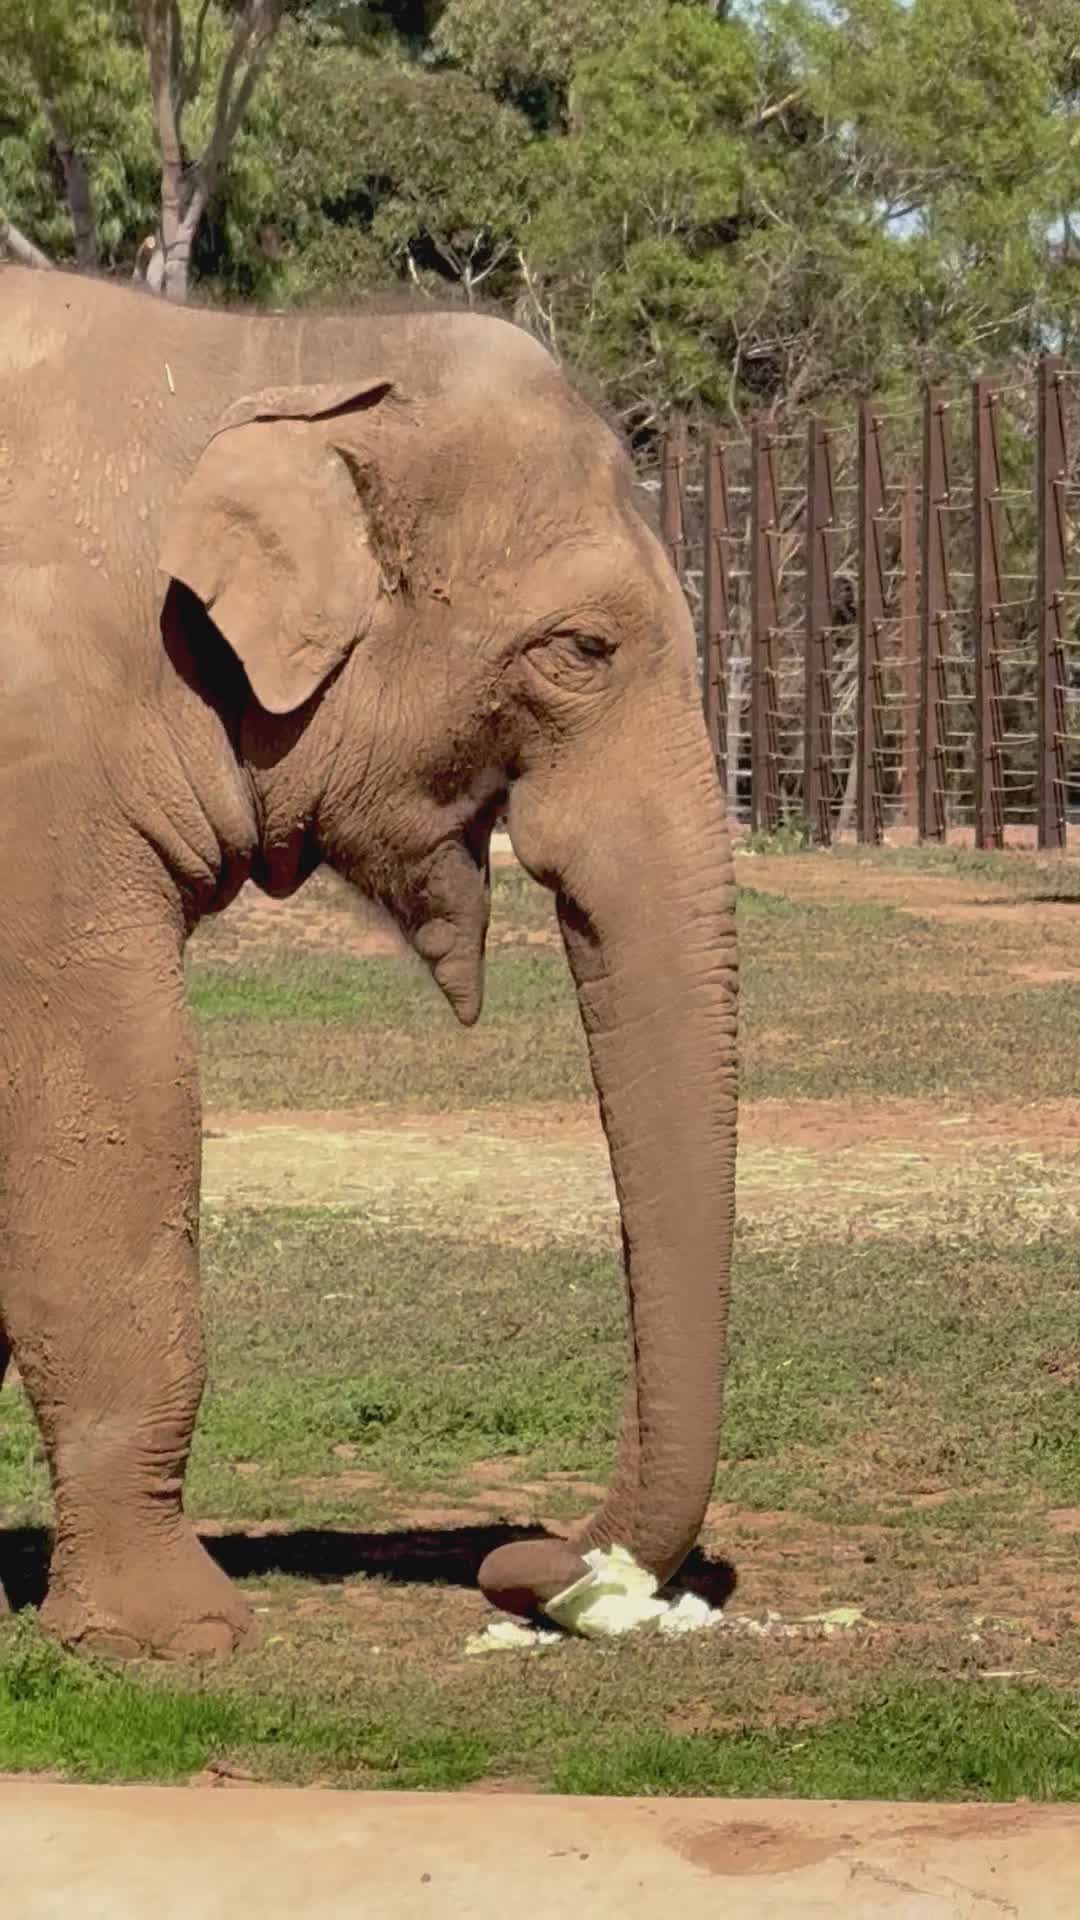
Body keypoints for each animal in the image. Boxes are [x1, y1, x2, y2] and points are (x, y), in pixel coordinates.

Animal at [0, 265, 737, 1659]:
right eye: (580, 650)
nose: (525, 1563)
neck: (268, 359)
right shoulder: (38, 786)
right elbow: (112, 1094)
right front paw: (179, 1641)